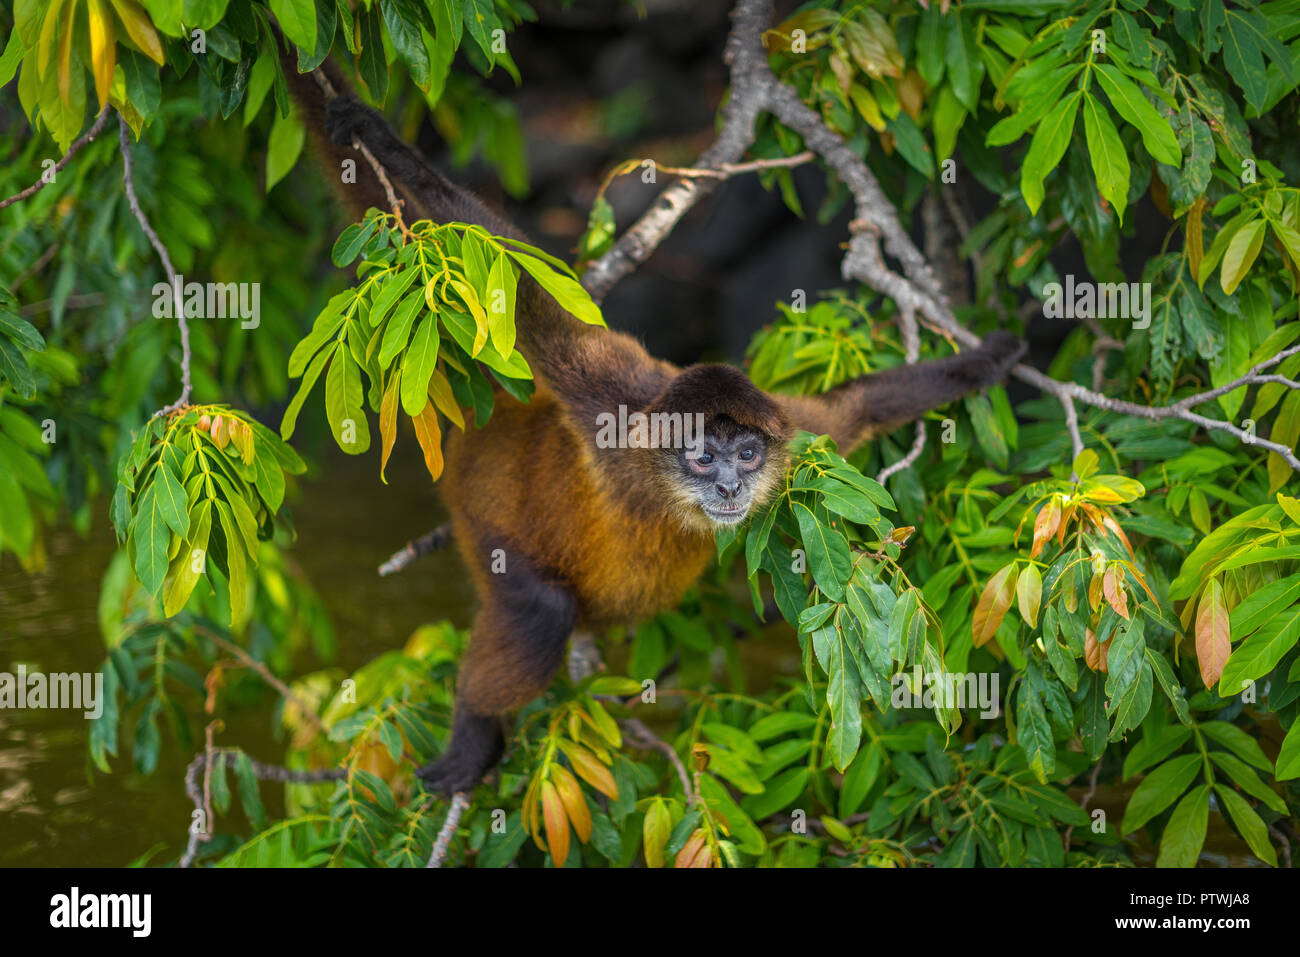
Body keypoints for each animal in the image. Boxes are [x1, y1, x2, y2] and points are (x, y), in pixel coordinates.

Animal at [280, 53, 1026, 795]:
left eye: (747, 454)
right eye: (703, 456)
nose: (730, 488)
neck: (663, 491)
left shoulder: (789, 426)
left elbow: (861, 407)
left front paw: (991, 357)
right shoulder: (608, 403)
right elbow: (535, 304)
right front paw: (378, 137)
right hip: (482, 512)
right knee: (540, 610)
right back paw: (474, 736)